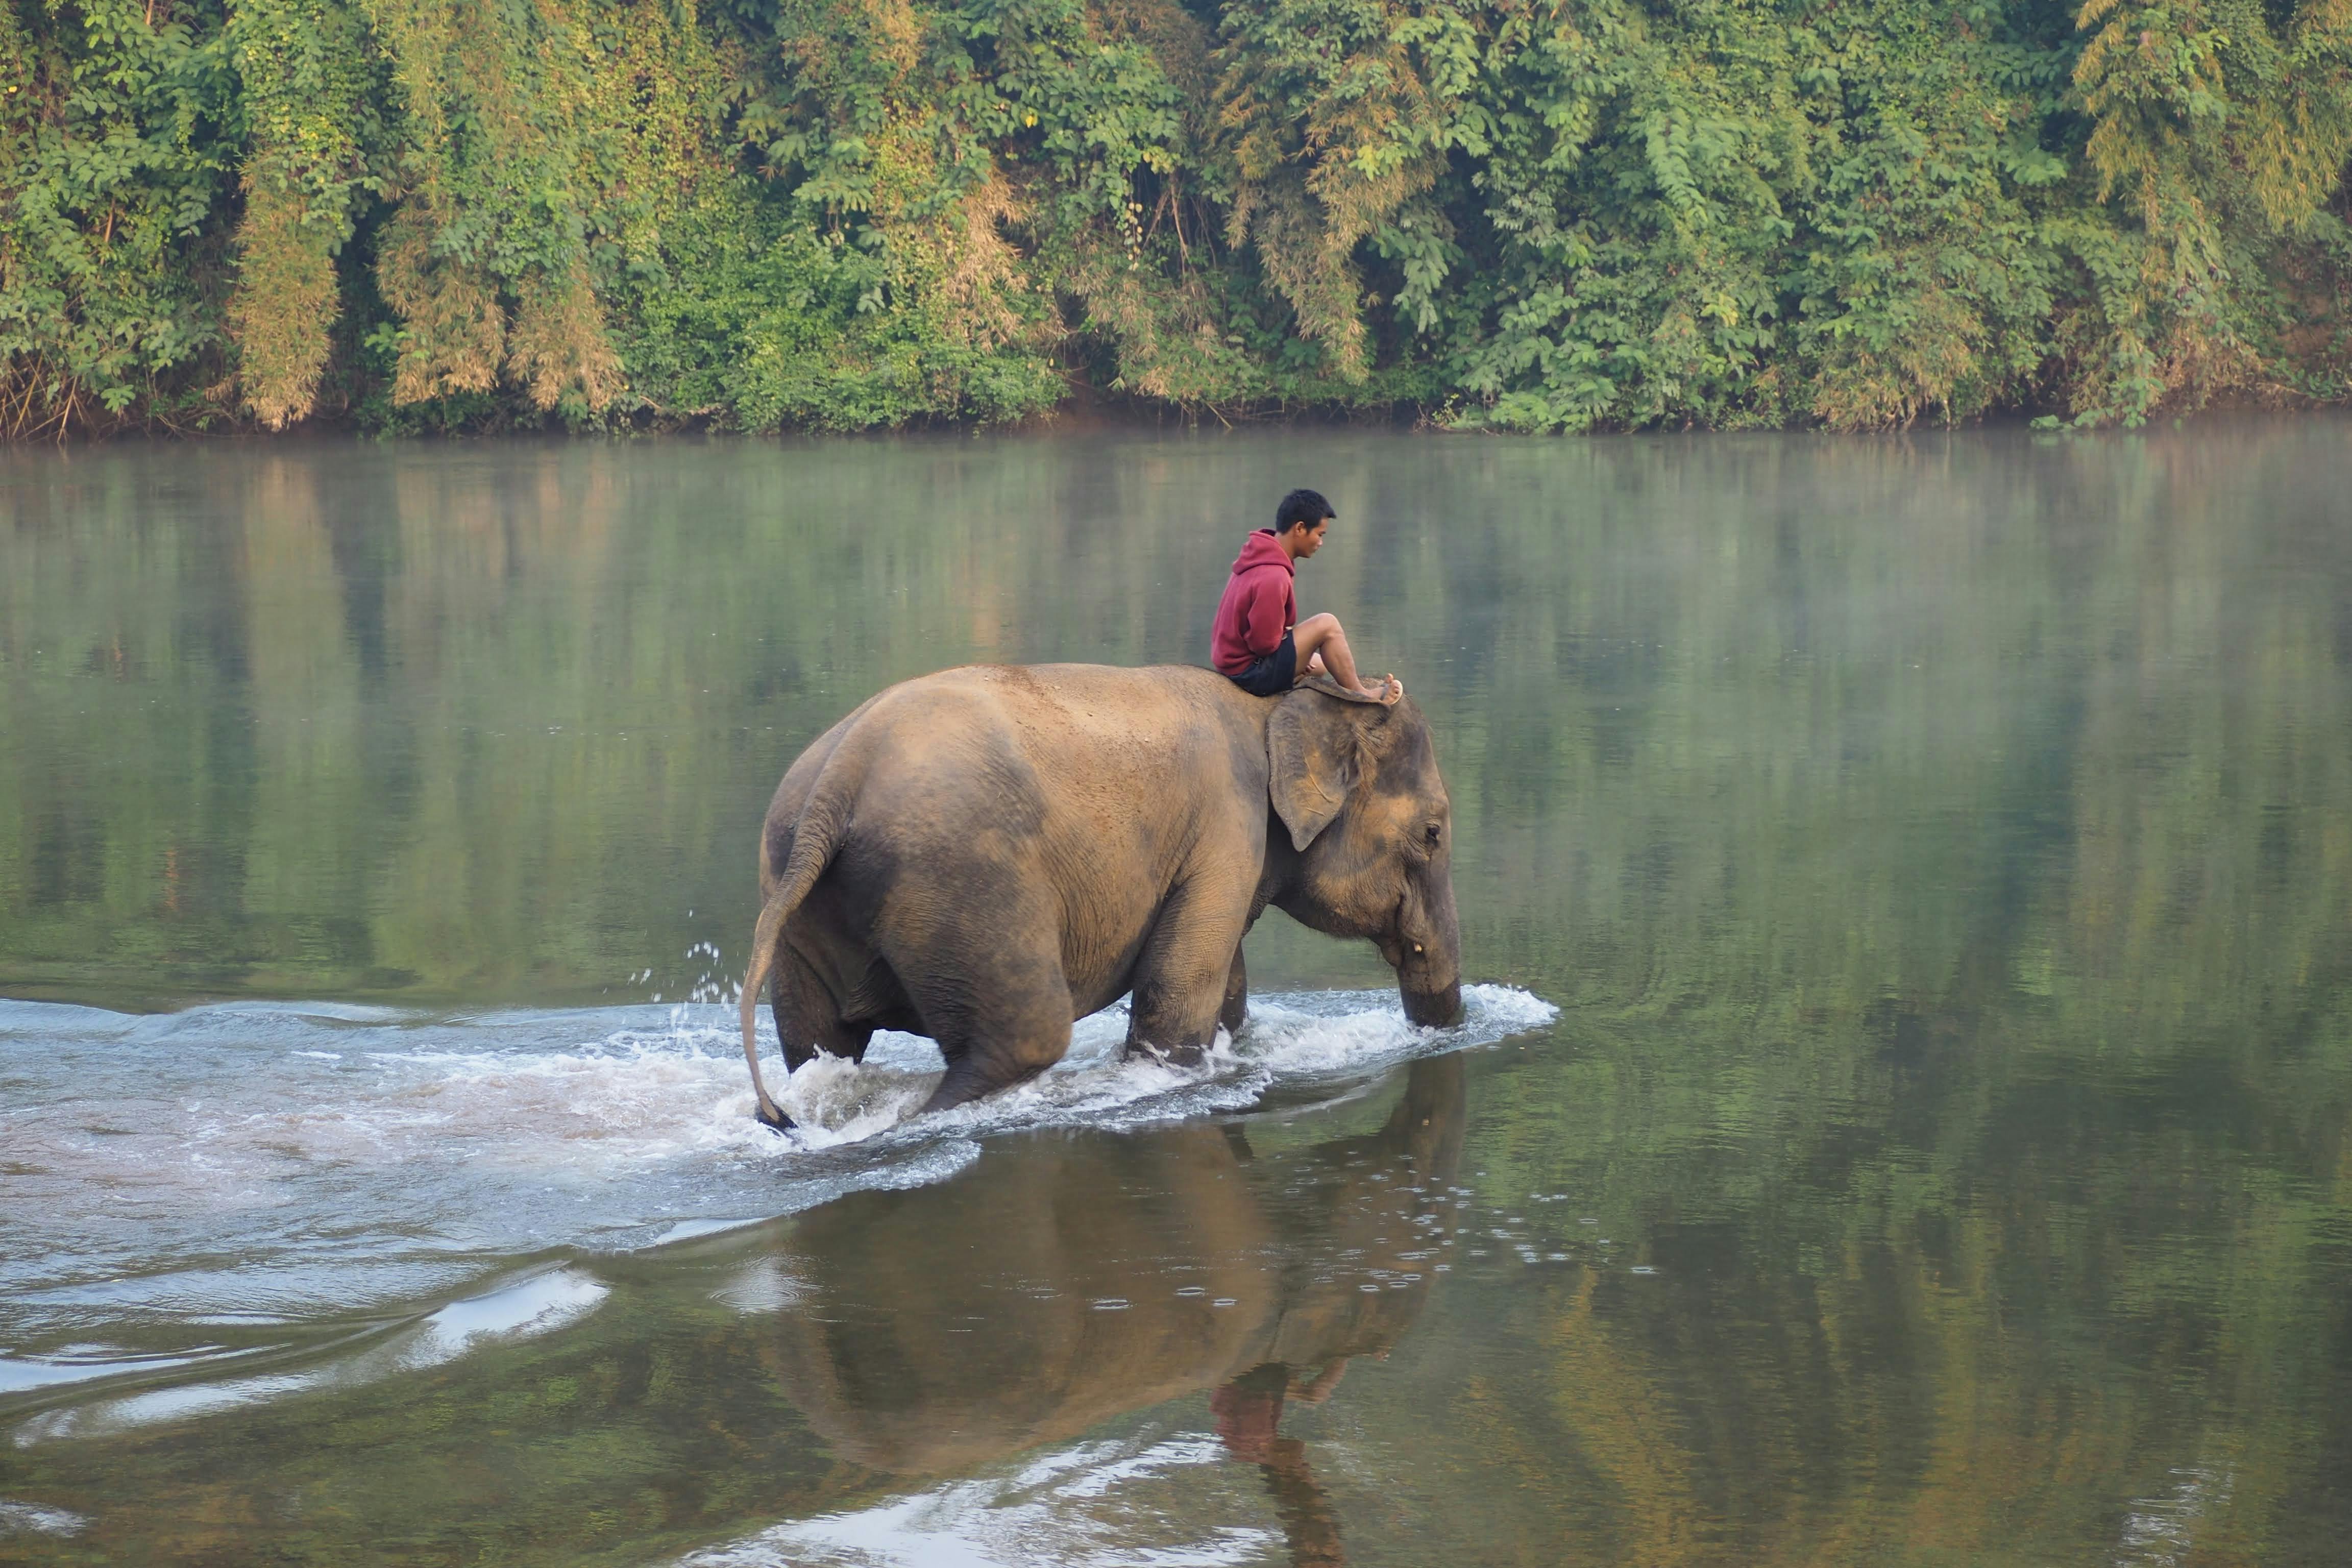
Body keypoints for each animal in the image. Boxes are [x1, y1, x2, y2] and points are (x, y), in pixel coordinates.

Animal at [736, 663, 1464, 1128]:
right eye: (1432, 832)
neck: (1274, 703)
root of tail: (838, 781)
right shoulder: (1228, 830)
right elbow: (1176, 997)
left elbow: (1225, 992)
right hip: (962, 883)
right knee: (1025, 1038)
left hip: (800, 891)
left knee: (818, 1043)